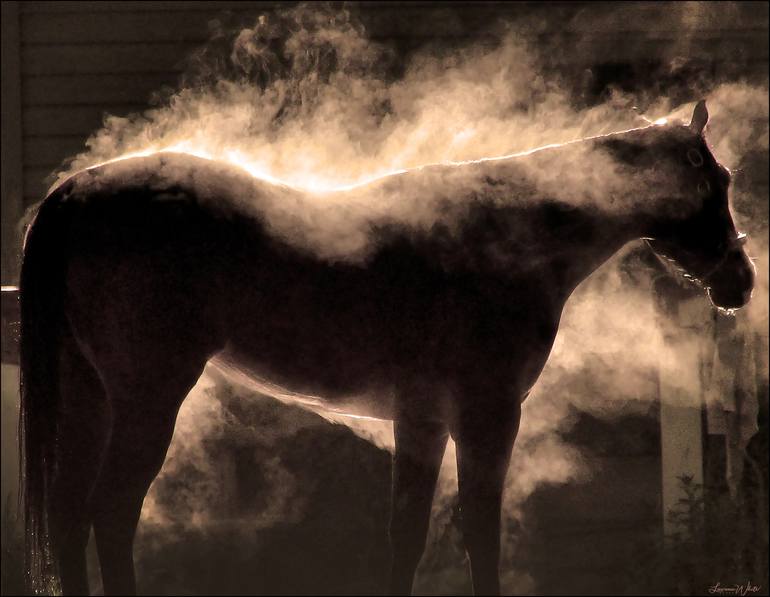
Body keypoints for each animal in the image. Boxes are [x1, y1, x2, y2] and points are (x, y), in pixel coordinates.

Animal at [18, 100, 754, 596]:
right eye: (714, 183)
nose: (741, 281)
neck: (512, 238)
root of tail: (74, 194)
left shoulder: (422, 420)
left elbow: (410, 534)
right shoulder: (487, 417)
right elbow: (478, 530)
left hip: (89, 397)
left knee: (69, 514)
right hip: (148, 401)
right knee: (110, 513)